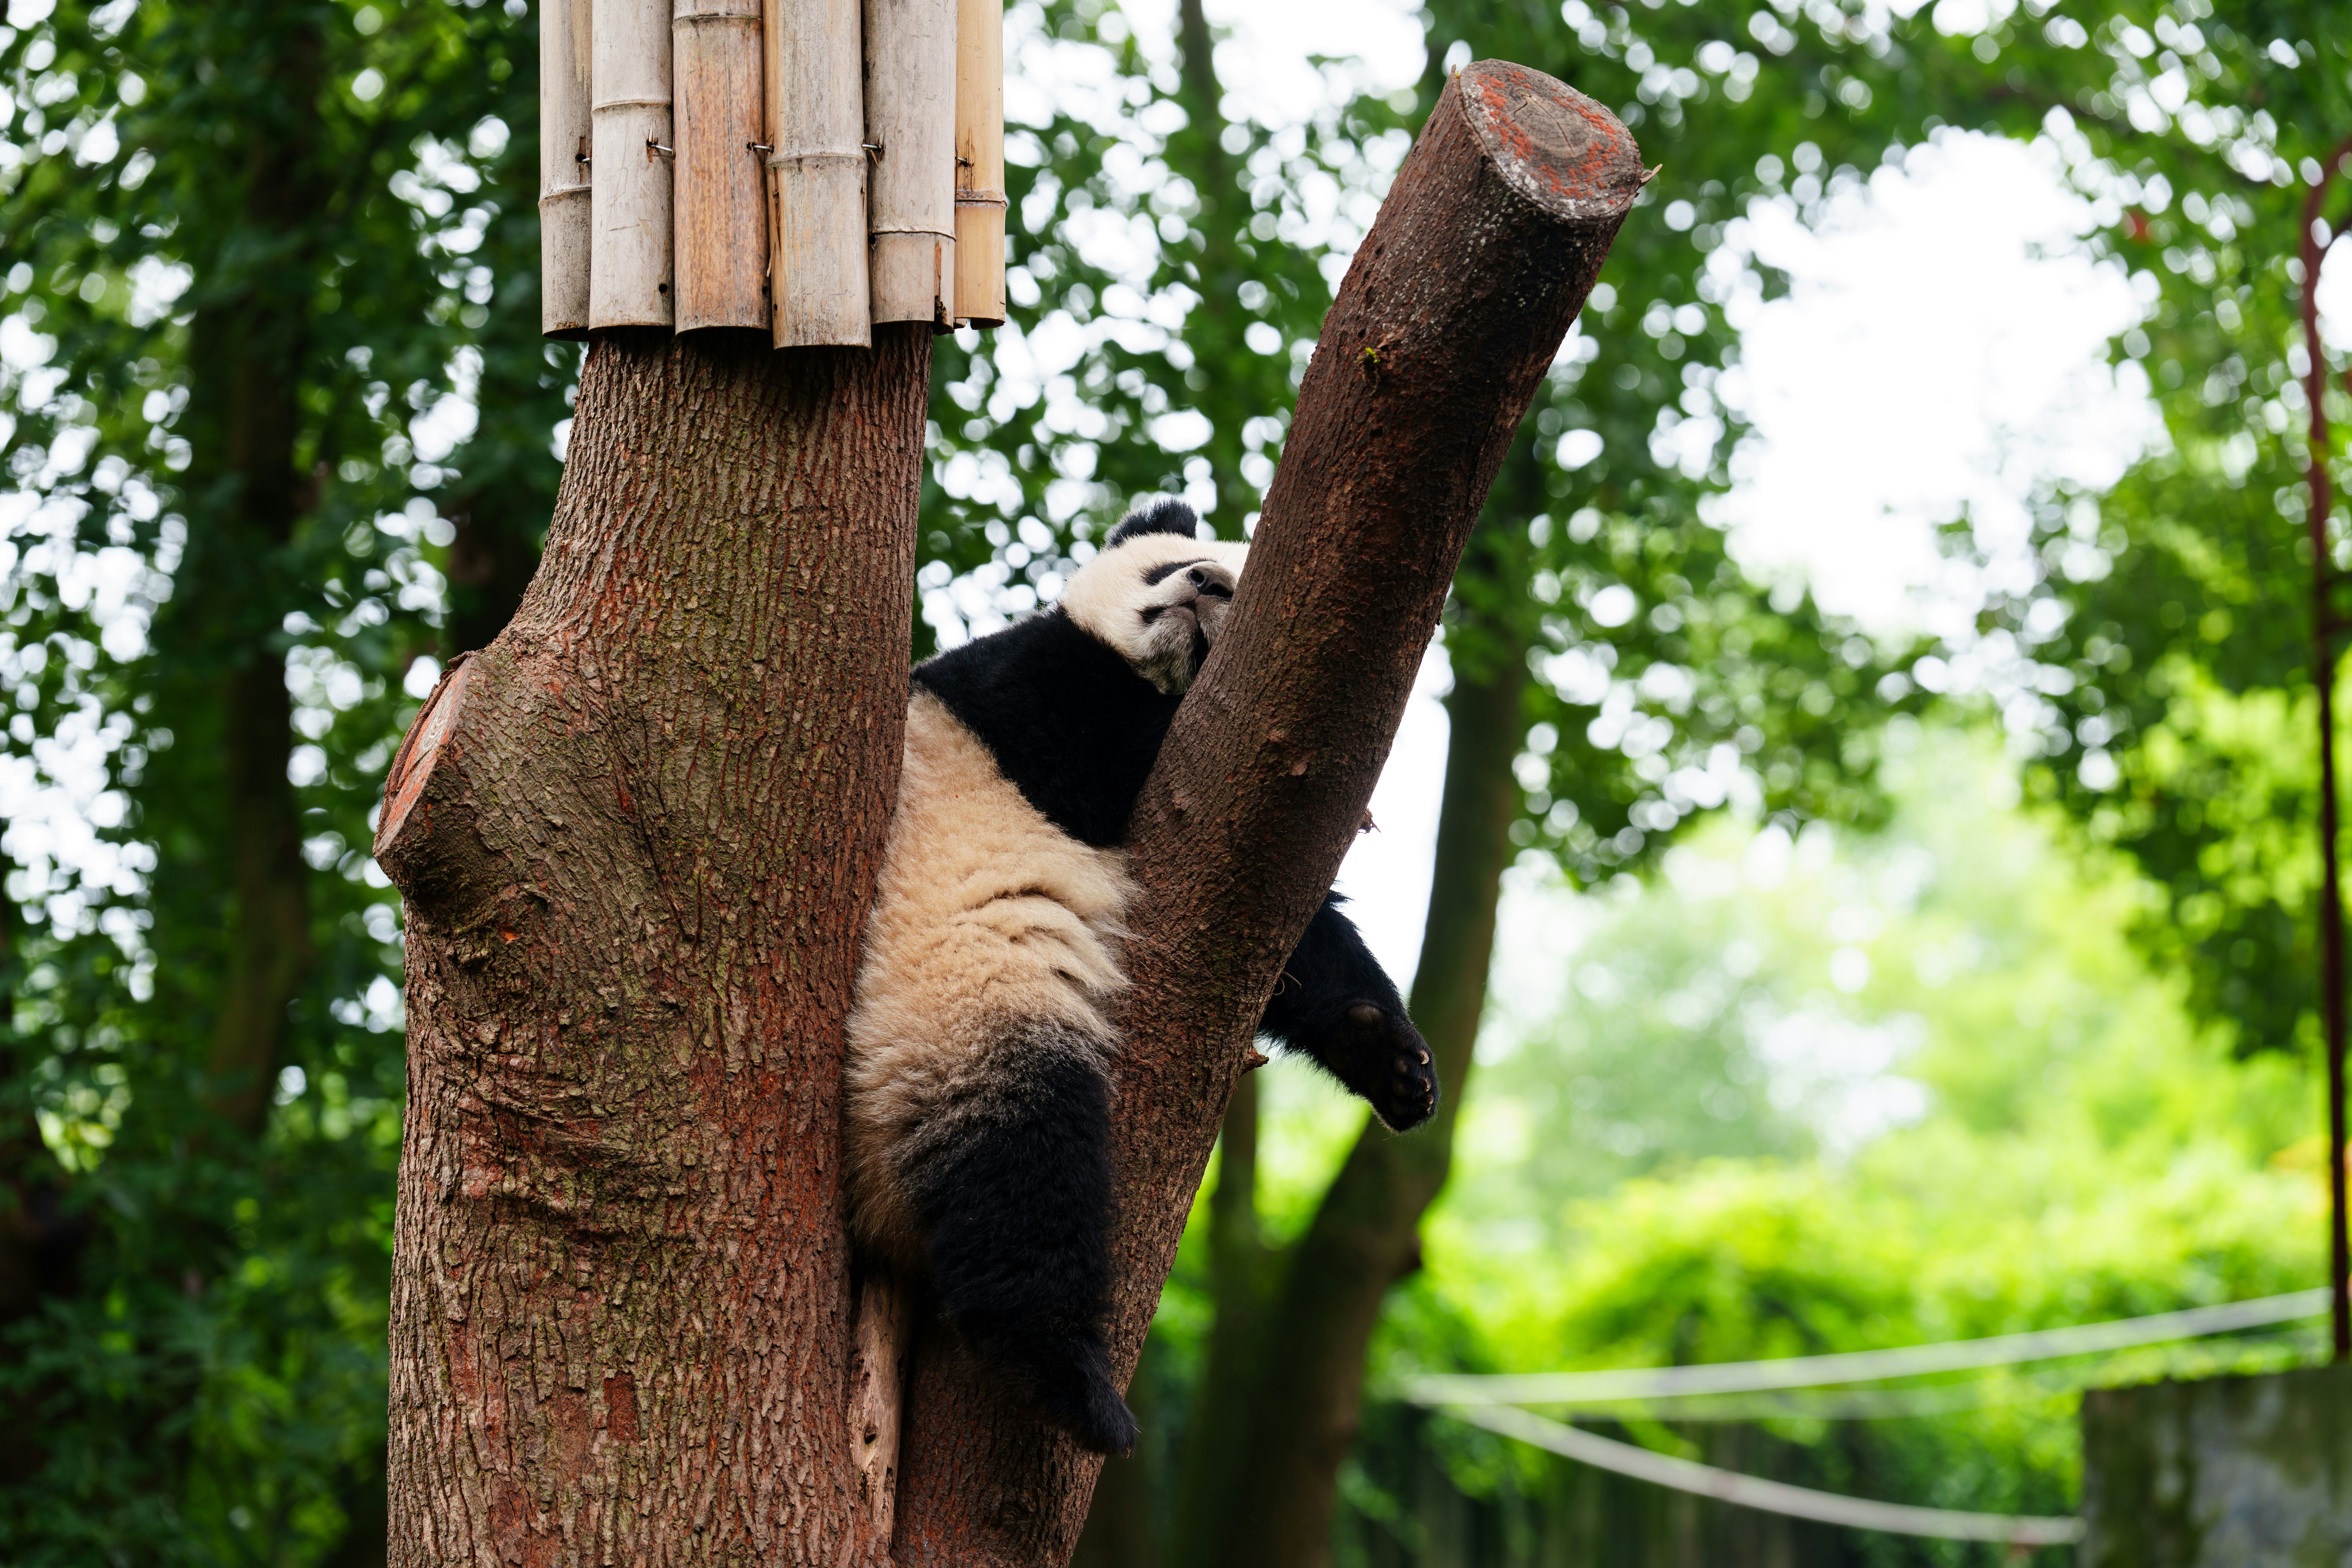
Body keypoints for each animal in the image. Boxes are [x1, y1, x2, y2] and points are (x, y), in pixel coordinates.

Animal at [843, 497, 1439, 1455]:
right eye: (1176, 564)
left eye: (1240, 579)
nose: (1203, 587)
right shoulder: (1019, 691)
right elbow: (1091, 746)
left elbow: (1305, 953)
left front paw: (1392, 1060)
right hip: (955, 1003)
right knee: (1021, 1166)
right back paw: (1074, 1381)